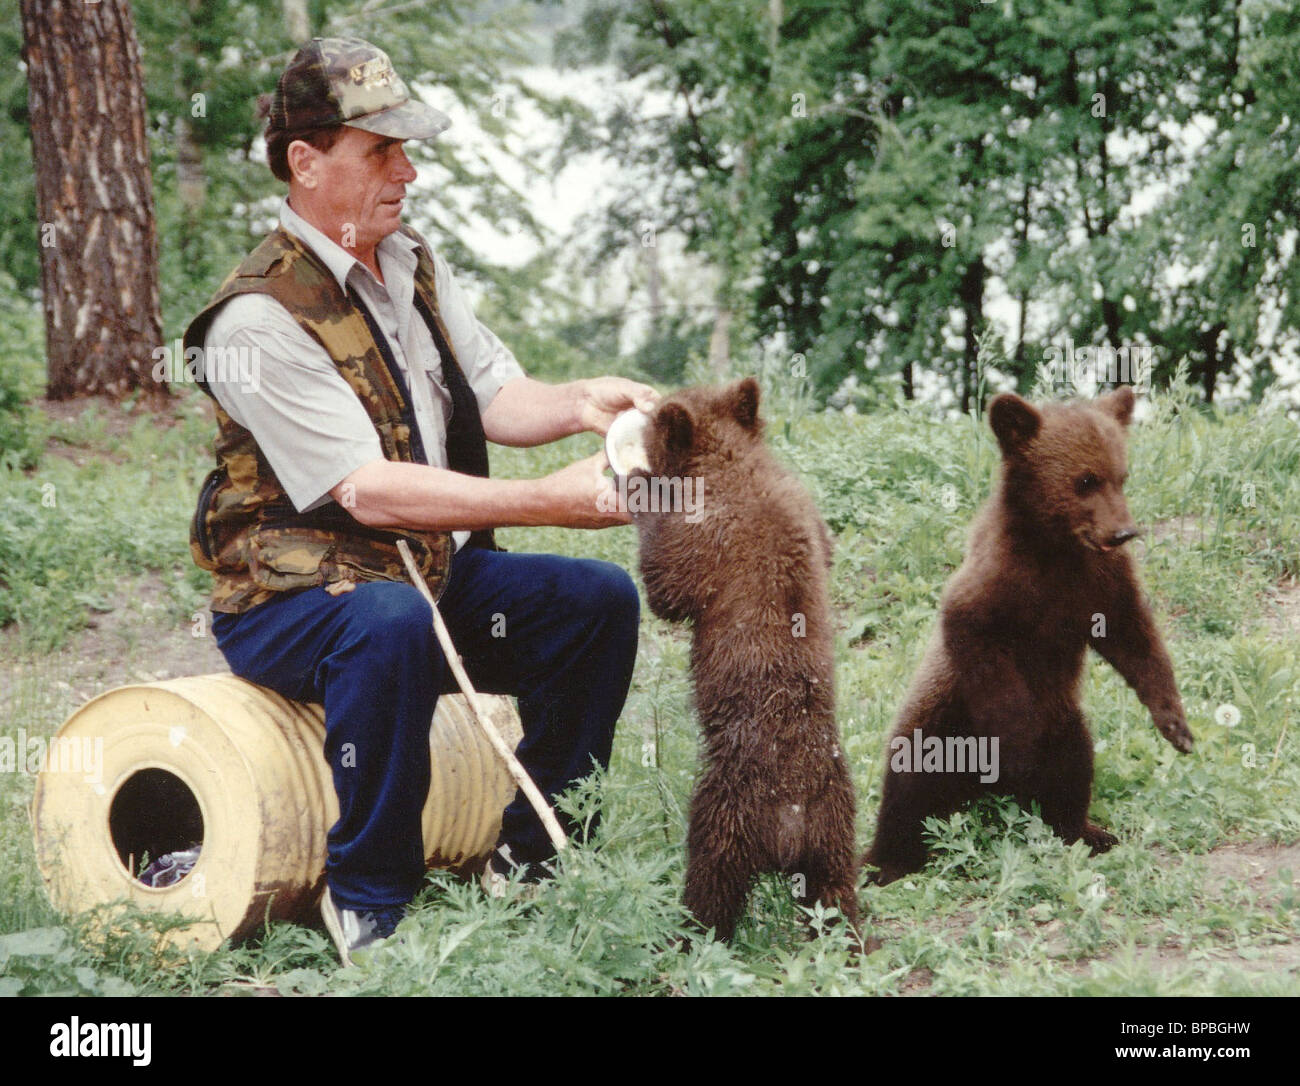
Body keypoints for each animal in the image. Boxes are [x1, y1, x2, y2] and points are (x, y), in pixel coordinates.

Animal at [630, 376, 862, 944]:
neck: (731, 465)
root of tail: (791, 820)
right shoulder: (804, 506)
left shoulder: (705, 535)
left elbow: (668, 584)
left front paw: (637, 487)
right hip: (837, 822)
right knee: (836, 891)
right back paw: (852, 940)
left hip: (724, 809)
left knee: (710, 880)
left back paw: (686, 935)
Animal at [862, 386, 1195, 886]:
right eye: (1085, 480)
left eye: (1122, 475)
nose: (1123, 532)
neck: (1056, 549)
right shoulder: (998, 587)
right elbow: (979, 643)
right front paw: (1016, 748)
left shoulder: (1098, 585)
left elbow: (1134, 638)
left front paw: (1176, 726)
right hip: (936, 720)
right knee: (908, 791)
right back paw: (886, 861)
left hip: (1065, 722)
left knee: (1073, 769)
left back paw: (1086, 831)